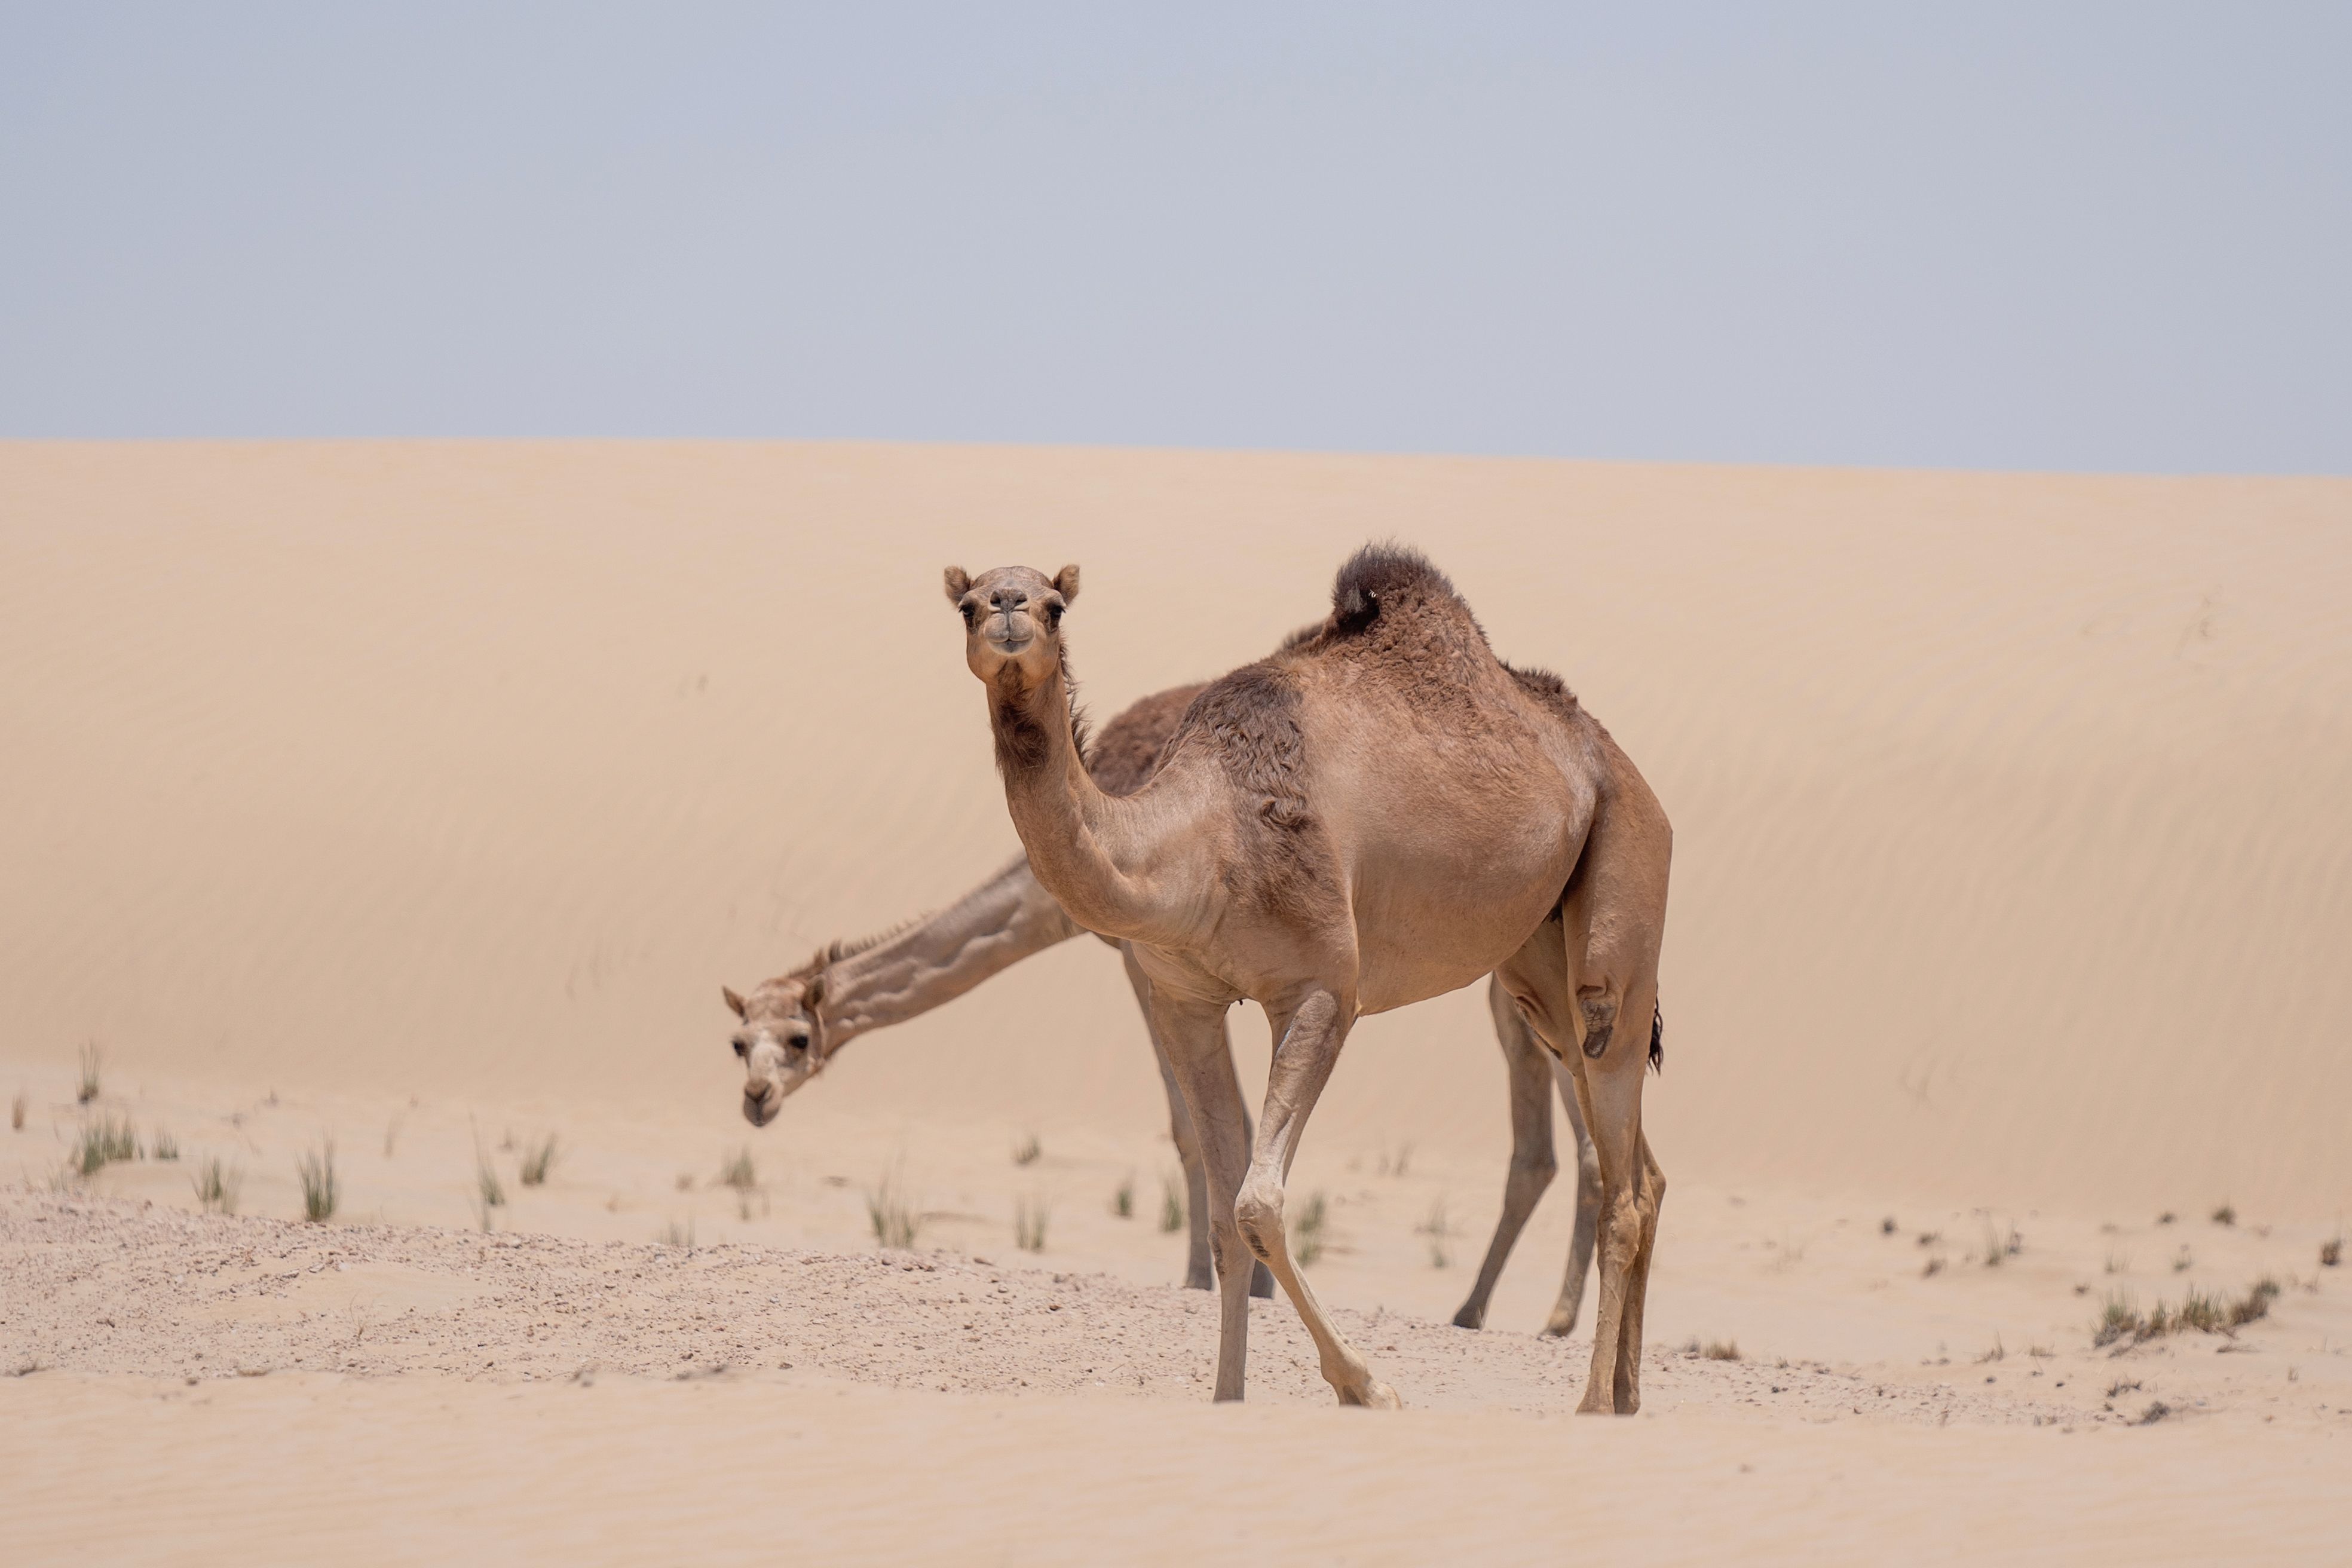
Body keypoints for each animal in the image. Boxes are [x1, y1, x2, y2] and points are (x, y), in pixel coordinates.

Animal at [723, 680, 1602, 1334]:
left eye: (796, 1038)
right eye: (738, 1041)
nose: (757, 1099)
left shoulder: (1147, 958)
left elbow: (1193, 1128)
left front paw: (1213, 1284)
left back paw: (1509, 1314)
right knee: (1565, 1137)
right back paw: (1526, 1315)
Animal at [944, 546, 1669, 1412]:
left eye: (1054, 605)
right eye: (965, 605)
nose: (1007, 608)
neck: (1197, 844)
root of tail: (1615, 759)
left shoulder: (1323, 989)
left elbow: (1258, 1204)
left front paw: (1368, 1387)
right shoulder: (1184, 999)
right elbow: (1224, 1220)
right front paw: (1228, 1398)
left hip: (1626, 870)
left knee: (1623, 1165)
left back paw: (1592, 1402)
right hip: (1538, 964)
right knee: (1642, 1167)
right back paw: (1627, 1395)